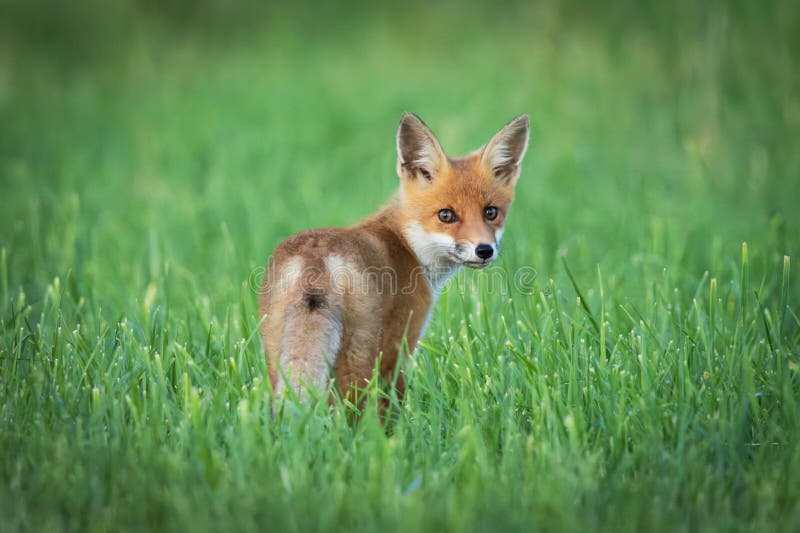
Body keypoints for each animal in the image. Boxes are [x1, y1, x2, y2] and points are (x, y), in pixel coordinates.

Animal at [259, 112, 530, 406]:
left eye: (491, 212)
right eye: (446, 215)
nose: (484, 250)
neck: (407, 244)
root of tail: (316, 260)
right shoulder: (399, 345)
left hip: (276, 354)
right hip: (360, 357)